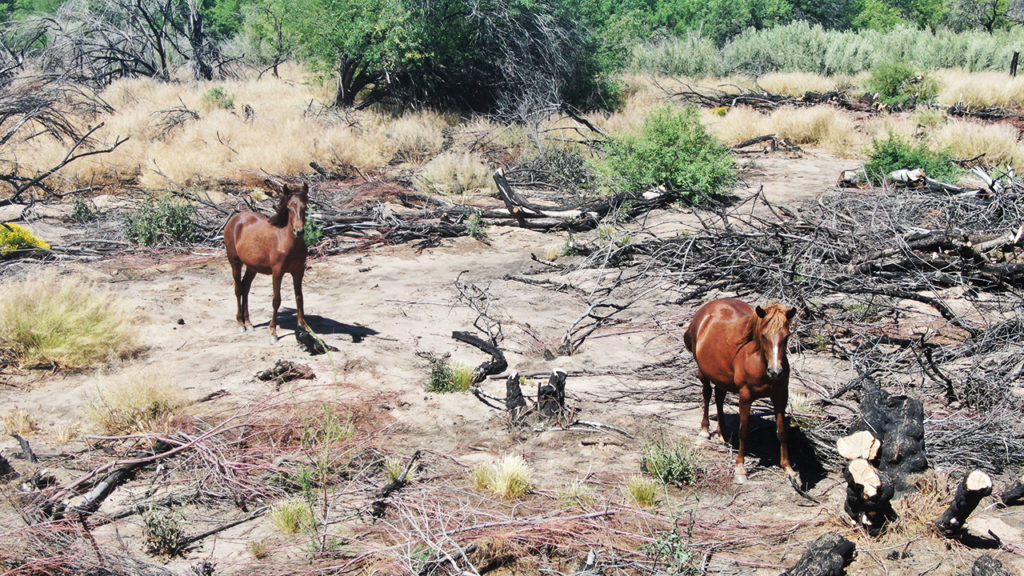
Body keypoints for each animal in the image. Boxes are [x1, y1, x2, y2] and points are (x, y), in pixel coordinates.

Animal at [224, 182, 309, 342]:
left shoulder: (298, 272)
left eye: (305, 207)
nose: (299, 231)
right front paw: (273, 332)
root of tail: (235, 219)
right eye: (289, 208)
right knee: (238, 289)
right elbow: (276, 300)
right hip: (235, 263)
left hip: (252, 267)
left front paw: (304, 325)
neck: (288, 242)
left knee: (245, 288)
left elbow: (299, 297)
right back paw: (241, 324)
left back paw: (248, 322)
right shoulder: (277, 273)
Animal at [683, 298, 797, 484]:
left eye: (786, 336)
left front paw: (789, 470)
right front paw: (740, 468)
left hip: (721, 376)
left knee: (719, 397)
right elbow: (743, 431)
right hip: (703, 372)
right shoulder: (745, 397)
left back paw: (722, 435)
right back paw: (705, 431)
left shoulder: (780, 396)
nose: (775, 372)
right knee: (707, 394)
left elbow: (782, 432)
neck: (758, 362)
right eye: (764, 335)